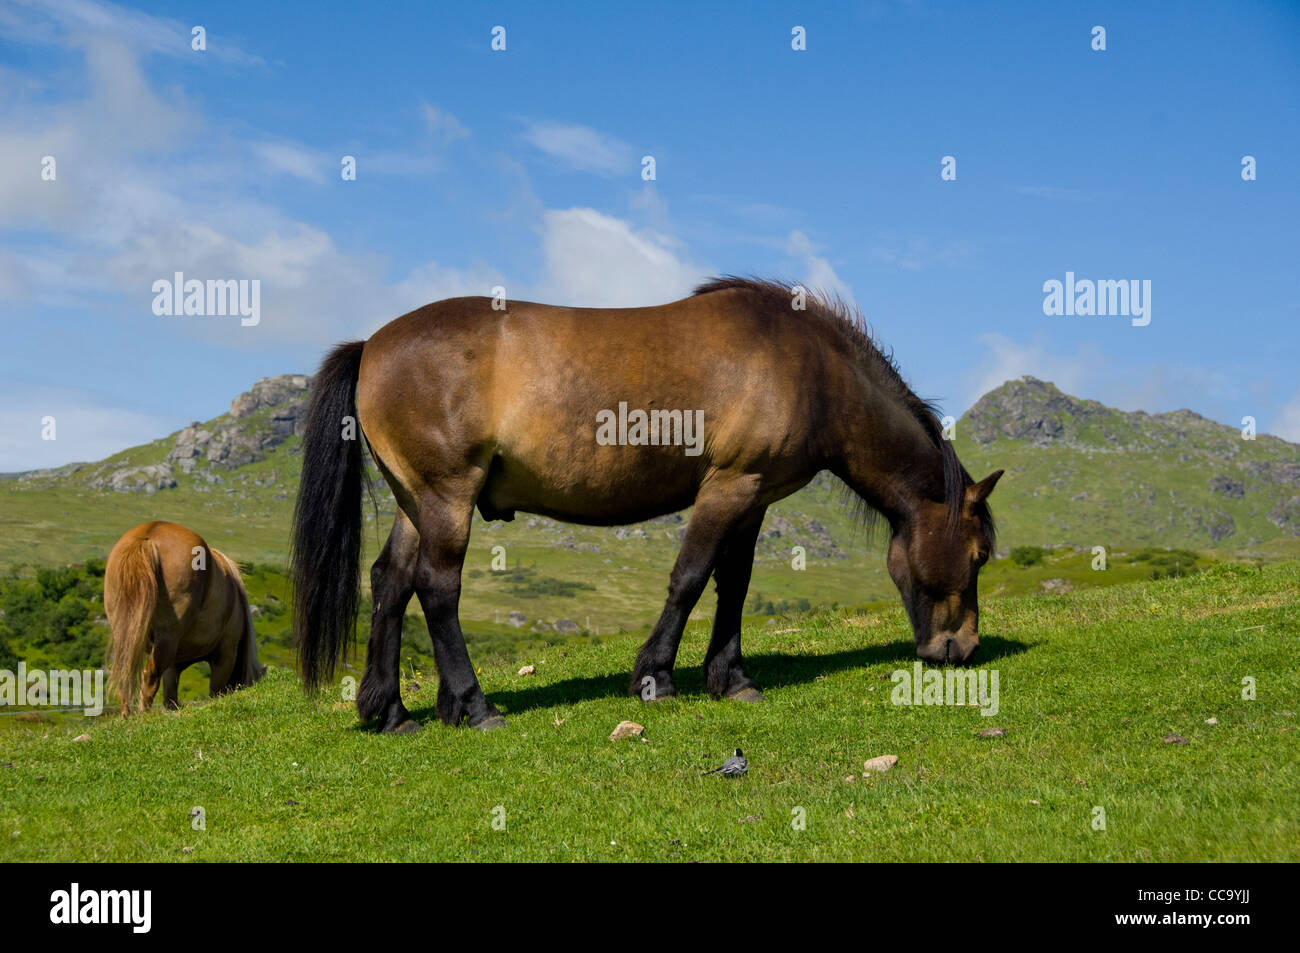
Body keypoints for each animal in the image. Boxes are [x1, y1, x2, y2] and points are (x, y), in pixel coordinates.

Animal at [105, 521, 264, 715]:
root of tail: (148, 534)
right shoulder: (225, 655)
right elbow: (214, 692)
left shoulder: (172, 666)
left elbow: (170, 698)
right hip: (167, 638)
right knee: (149, 676)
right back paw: (143, 715)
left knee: (125, 677)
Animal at [291, 277, 1002, 734]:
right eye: (977, 555)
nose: (961, 649)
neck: (811, 365)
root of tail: (372, 345)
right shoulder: (730, 486)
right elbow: (690, 579)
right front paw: (655, 677)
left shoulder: (754, 497)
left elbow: (733, 583)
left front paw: (731, 678)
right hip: (446, 497)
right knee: (437, 588)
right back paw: (474, 706)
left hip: (416, 502)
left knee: (391, 581)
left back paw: (392, 712)